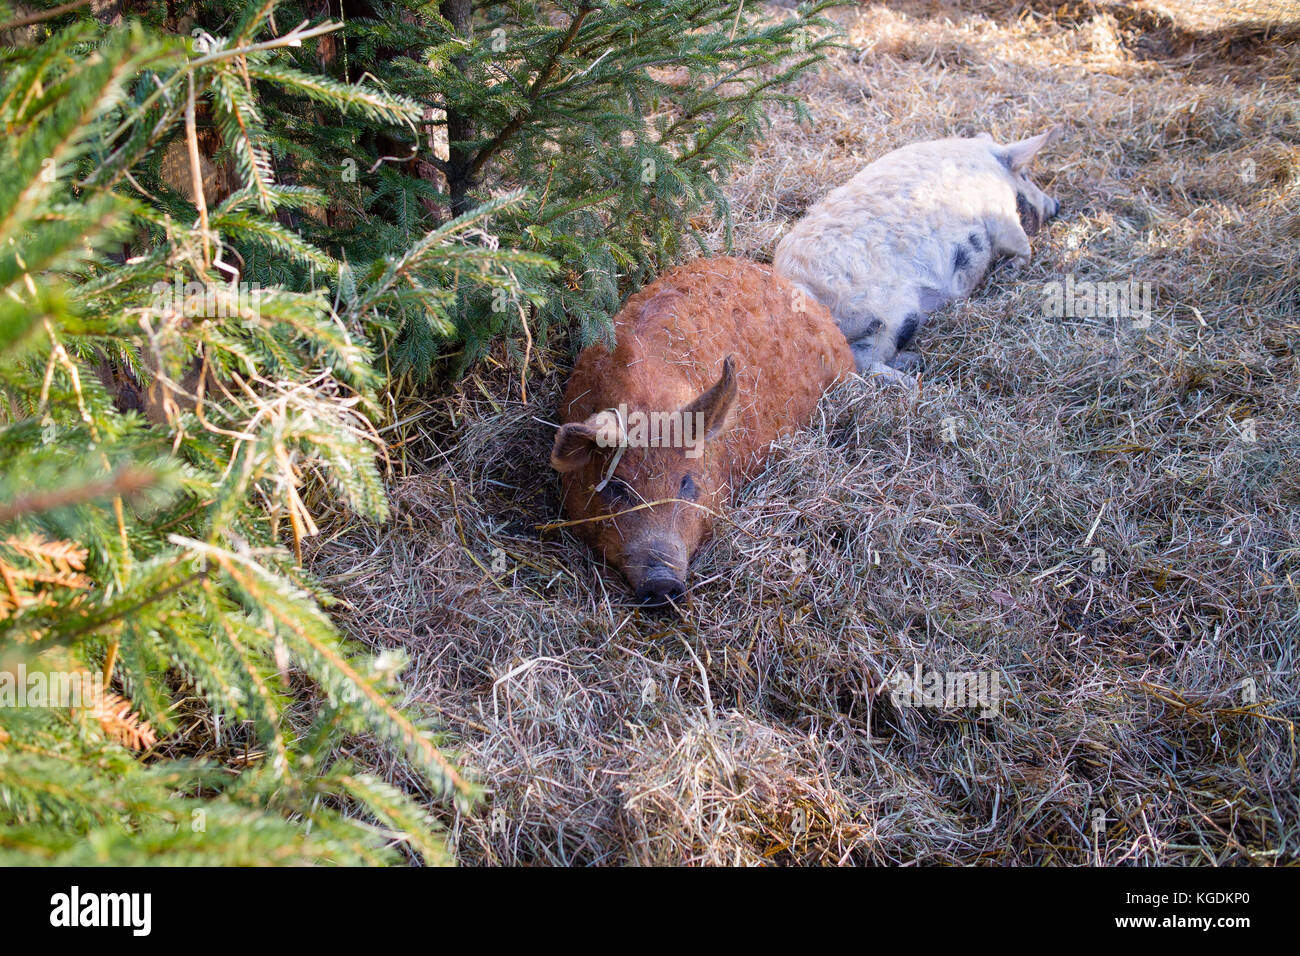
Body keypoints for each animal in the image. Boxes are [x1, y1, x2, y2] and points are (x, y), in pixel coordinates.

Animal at [773, 129, 1062, 384]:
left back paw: (915, 361)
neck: (989, 163)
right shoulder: (1001, 216)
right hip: (888, 312)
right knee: (861, 361)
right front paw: (1013, 267)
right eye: (1025, 175)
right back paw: (918, 382)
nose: (1057, 205)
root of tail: (800, 289)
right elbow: (1024, 246)